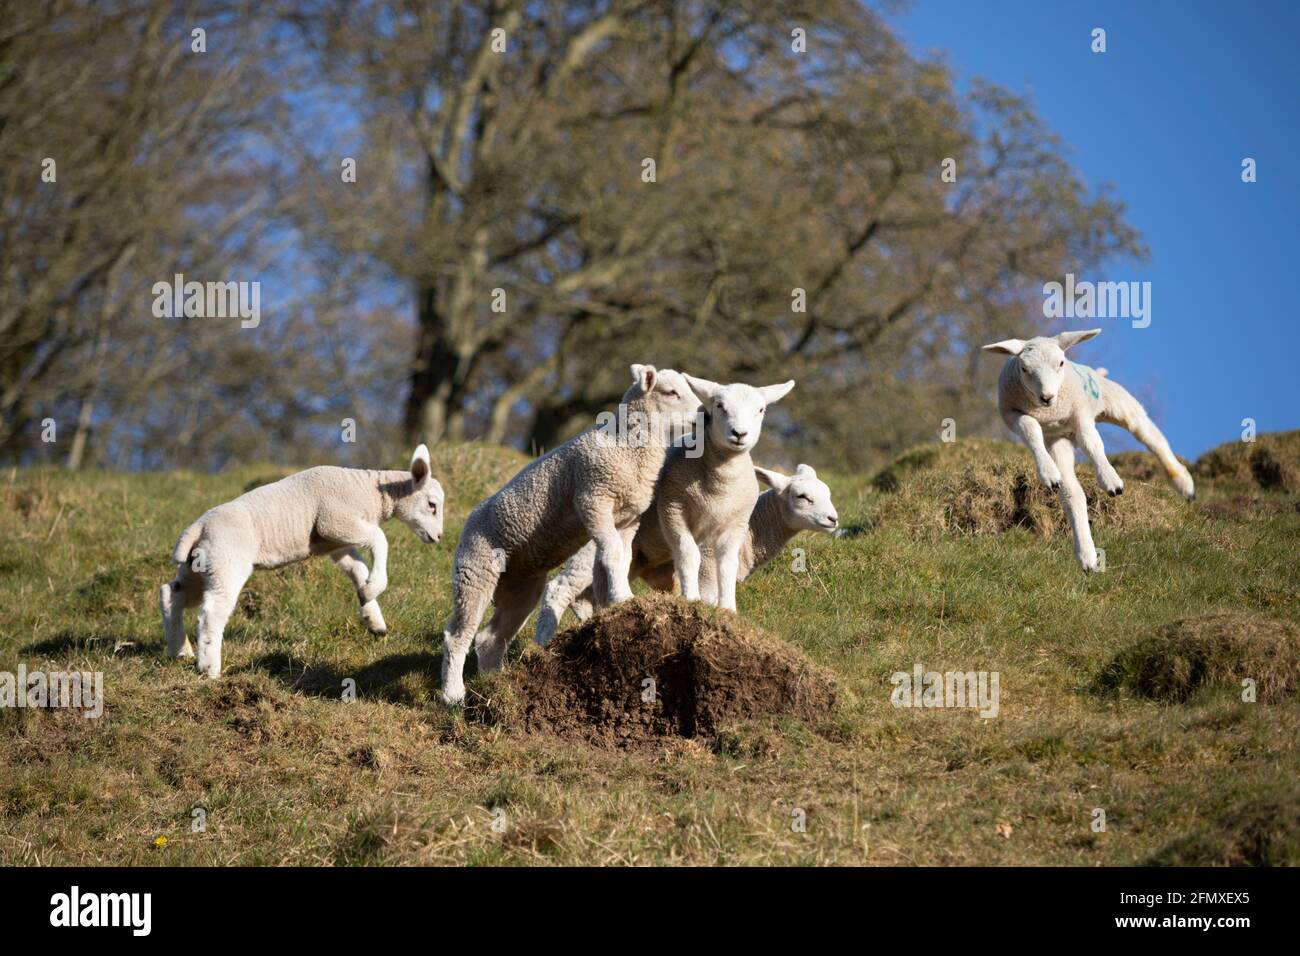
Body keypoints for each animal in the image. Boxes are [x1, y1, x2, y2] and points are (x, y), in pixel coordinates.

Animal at [160, 445, 444, 678]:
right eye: (432, 505)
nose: (439, 537)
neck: (370, 494)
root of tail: (198, 527)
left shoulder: (336, 542)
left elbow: (358, 568)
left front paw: (372, 612)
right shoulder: (336, 521)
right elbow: (380, 538)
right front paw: (375, 587)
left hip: (198, 567)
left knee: (172, 593)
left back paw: (180, 650)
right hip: (226, 562)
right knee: (211, 612)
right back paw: (209, 668)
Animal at [439, 364, 702, 706]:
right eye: (671, 392)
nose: (704, 415)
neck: (631, 449)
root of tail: (469, 521)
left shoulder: (627, 520)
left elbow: (621, 557)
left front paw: (617, 597)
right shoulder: (593, 498)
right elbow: (612, 553)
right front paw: (624, 597)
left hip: (520, 587)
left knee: (489, 638)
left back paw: (496, 683)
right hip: (476, 569)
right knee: (457, 635)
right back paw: (453, 695)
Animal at [535, 462, 839, 643]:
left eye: (827, 493)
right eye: (802, 497)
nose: (833, 519)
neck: (754, 527)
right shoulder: (706, 564)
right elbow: (706, 598)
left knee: (588, 596)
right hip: (587, 551)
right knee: (558, 590)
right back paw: (541, 644)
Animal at [982, 328, 1195, 571]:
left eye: (1061, 363)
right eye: (1024, 369)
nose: (1047, 398)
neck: (1049, 414)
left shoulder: (1080, 413)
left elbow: (1092, 443)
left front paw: (1110, 480)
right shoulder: (1012, 415)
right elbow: (1030, 429)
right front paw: (1047, 472)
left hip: (1114, 400)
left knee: (1148, 434)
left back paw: (1183, 483)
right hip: (1058, 442)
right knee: (1071, 493)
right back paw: (1087, 555)